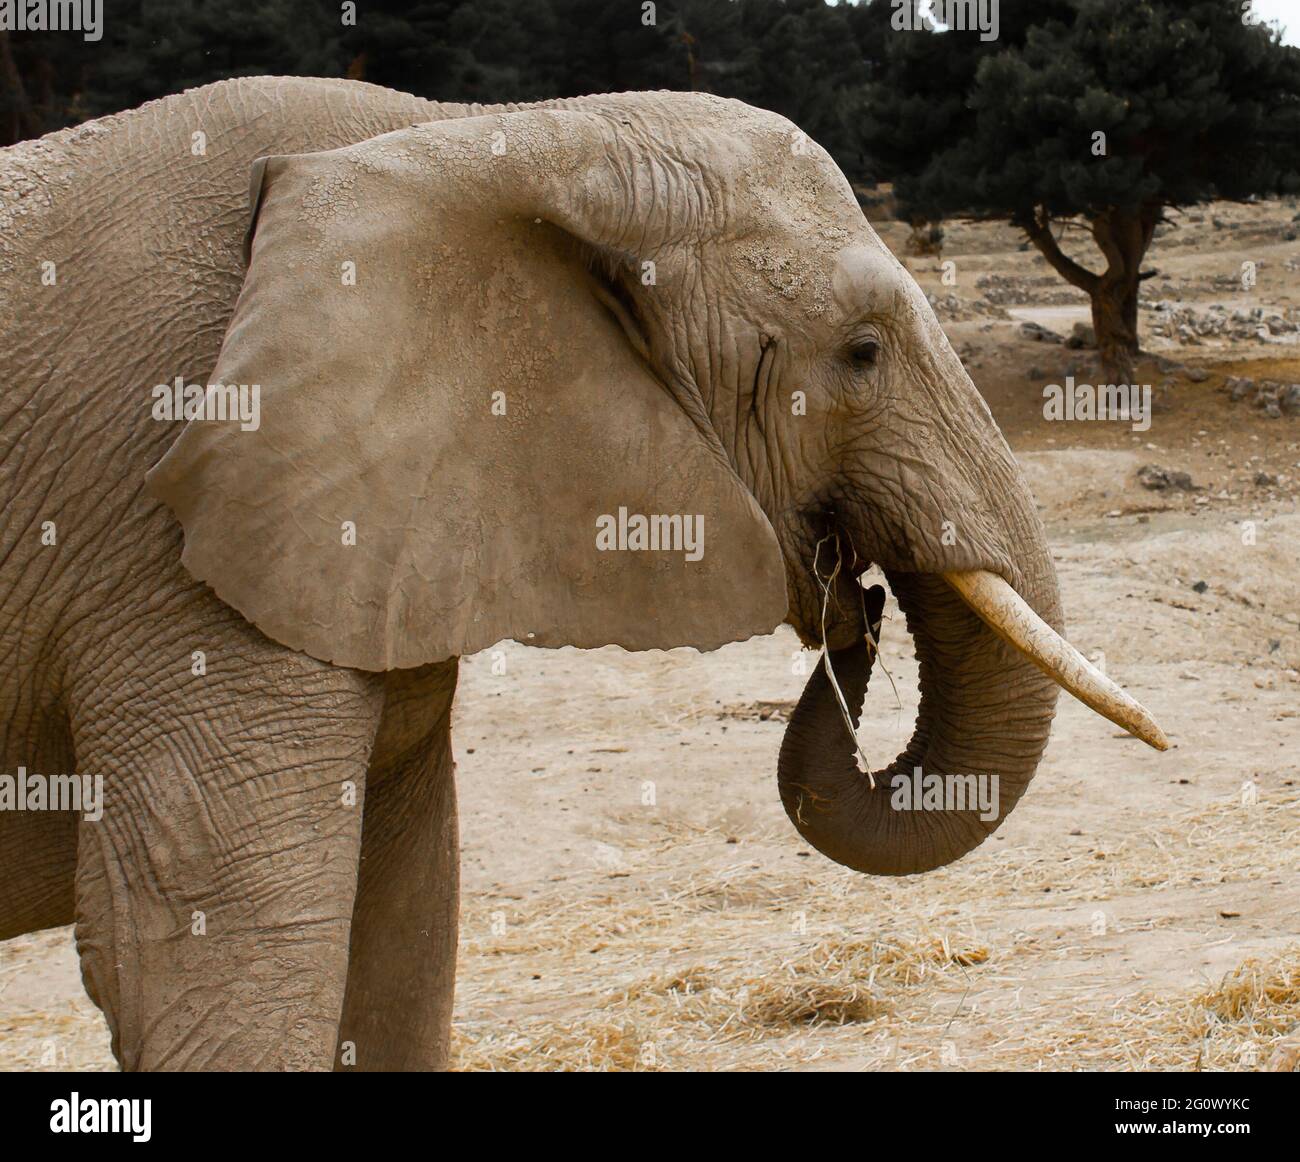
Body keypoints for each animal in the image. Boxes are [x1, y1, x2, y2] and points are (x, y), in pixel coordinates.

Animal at [0, 76, 1167, 1071]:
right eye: (863, 352)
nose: (856, 599)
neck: (496, 137)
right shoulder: (171, 540)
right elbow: (203, 945)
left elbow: (407, 913)